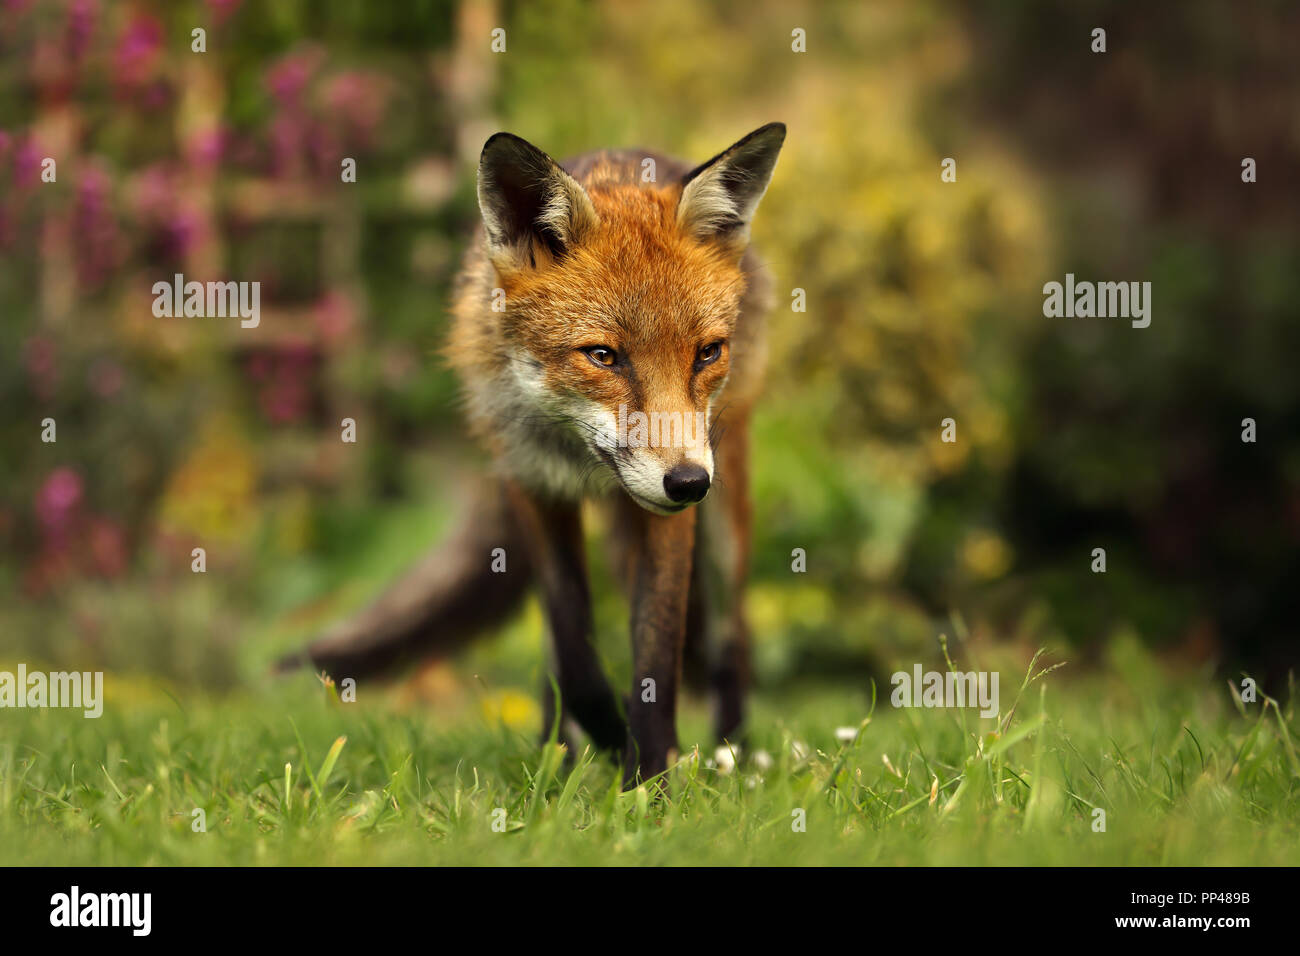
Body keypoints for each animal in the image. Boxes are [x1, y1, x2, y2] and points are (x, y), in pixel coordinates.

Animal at [278, 123, 786, 785]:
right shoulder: (534, 487)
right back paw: (558, 758)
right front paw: (608, 739)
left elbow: (655, 654)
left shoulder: (668, 518)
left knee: (735, 635)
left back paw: (736, 755)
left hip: (723, 526)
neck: (580, 459)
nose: (688, 483)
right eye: (603, 356)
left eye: (706, 352)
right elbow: (572, 649)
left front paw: (649, 777)